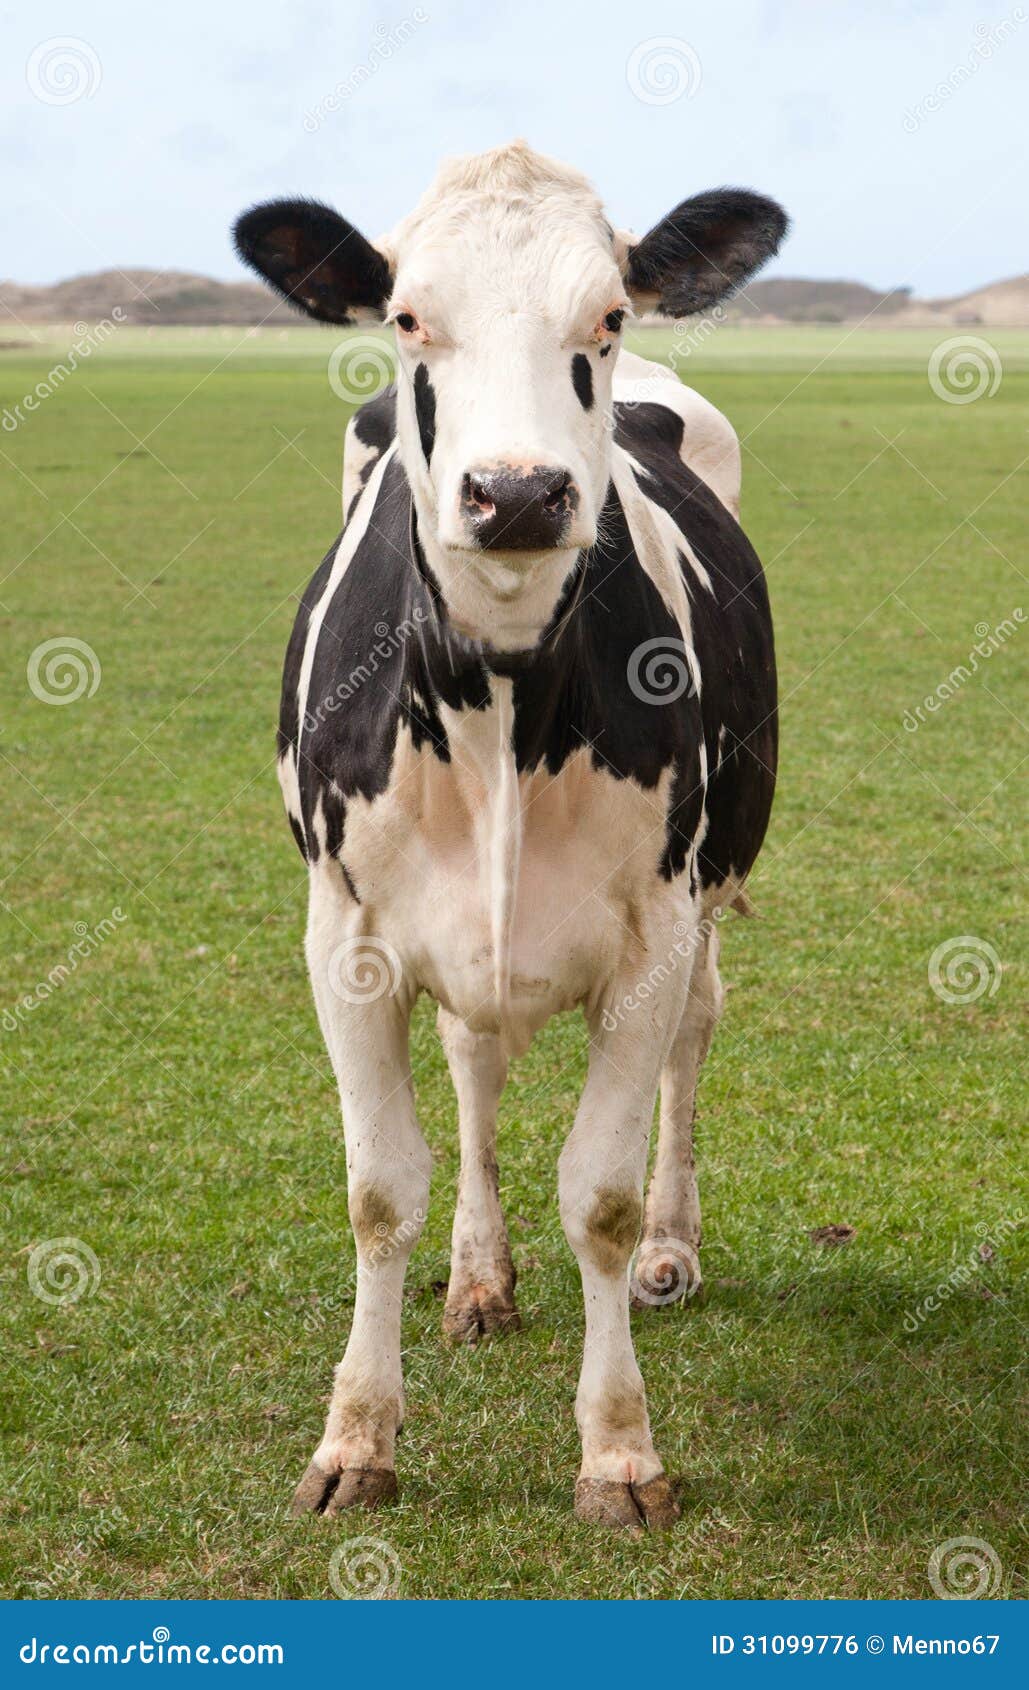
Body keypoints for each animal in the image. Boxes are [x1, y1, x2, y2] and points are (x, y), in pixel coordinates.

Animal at [234, 141, 786, 1531]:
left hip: (705, 904)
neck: (499, 695)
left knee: (697, 1036)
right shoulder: (345, 939)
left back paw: (673, 1251)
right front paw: (357, 1437)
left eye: (610, 313)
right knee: (474, 1061)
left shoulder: (650, 937)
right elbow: (381, 1189)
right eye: (406, 316)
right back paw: (480, 1276)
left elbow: (601, 1194)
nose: (523, 491)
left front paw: (621, 1452)